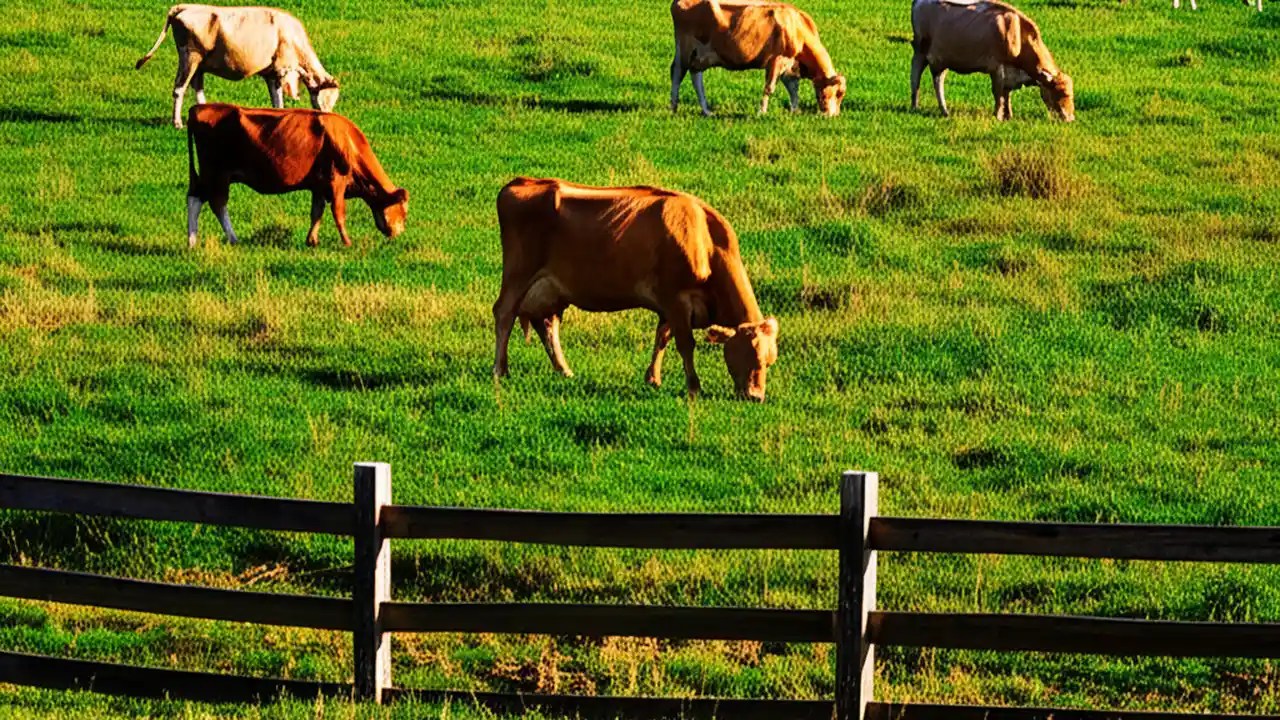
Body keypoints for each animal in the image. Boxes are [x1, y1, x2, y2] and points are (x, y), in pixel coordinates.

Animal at [135, 5, 340, 129]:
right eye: (327, 98)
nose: (328, 117)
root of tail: (185, 6)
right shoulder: (282, 69)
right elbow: (279, 97)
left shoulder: (271, 73)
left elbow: (276, 100)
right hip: (190, 57)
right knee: (179, 88)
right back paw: (177, 123)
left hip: (199, 64)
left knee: (197, 88)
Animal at [185, 104, 408, 249]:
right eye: (403, 212)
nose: (399, 233)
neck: (348, 141)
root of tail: (197, 108)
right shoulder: (336, 181)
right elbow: (338, 212)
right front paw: (347, 242)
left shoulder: (319, 185)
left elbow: (316, 212)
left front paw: (312, 241)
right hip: (216, 173)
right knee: (217, 203)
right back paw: (231, 239)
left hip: (208, 174)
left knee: (195, 199)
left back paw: (192, 242)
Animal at [493, 178, 780, 402]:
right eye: (751, 355)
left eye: (769, 360)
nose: (756, 396)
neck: (706, 241)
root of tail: (520, 182)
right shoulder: (676, 298)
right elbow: (685, 344)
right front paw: (693, 387)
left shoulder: (668, 306)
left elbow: (662, 338)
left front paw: (653, 378)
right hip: (518, 274)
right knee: (504, 313)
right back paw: (500, 370)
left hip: (550, 291)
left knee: (547, 325)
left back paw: (564, 370)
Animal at [670, 0, 847, 116]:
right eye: (837, 93)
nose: (833, 115)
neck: (798, 28)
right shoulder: (777, 59)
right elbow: (769, 88)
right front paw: (761, 112)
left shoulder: (790, 64)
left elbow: (793, 88)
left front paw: (795, 111)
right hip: (685, 48)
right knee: (677, 73)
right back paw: (673, 107)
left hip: (698, 56)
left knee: (695, 77)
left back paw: (706, 111)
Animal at [910, 0, 1074, 122]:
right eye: (1063, 93)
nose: (1071, 118)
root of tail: (918, 2)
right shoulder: (997, 67)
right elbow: (998, 94)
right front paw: (998, 116)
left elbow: (1006, 95)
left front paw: (1008, 116)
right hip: (921, 50)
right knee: (916, 76)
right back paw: (918, 106)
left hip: (942, 59)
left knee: (937, 79)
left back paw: (939, 110)